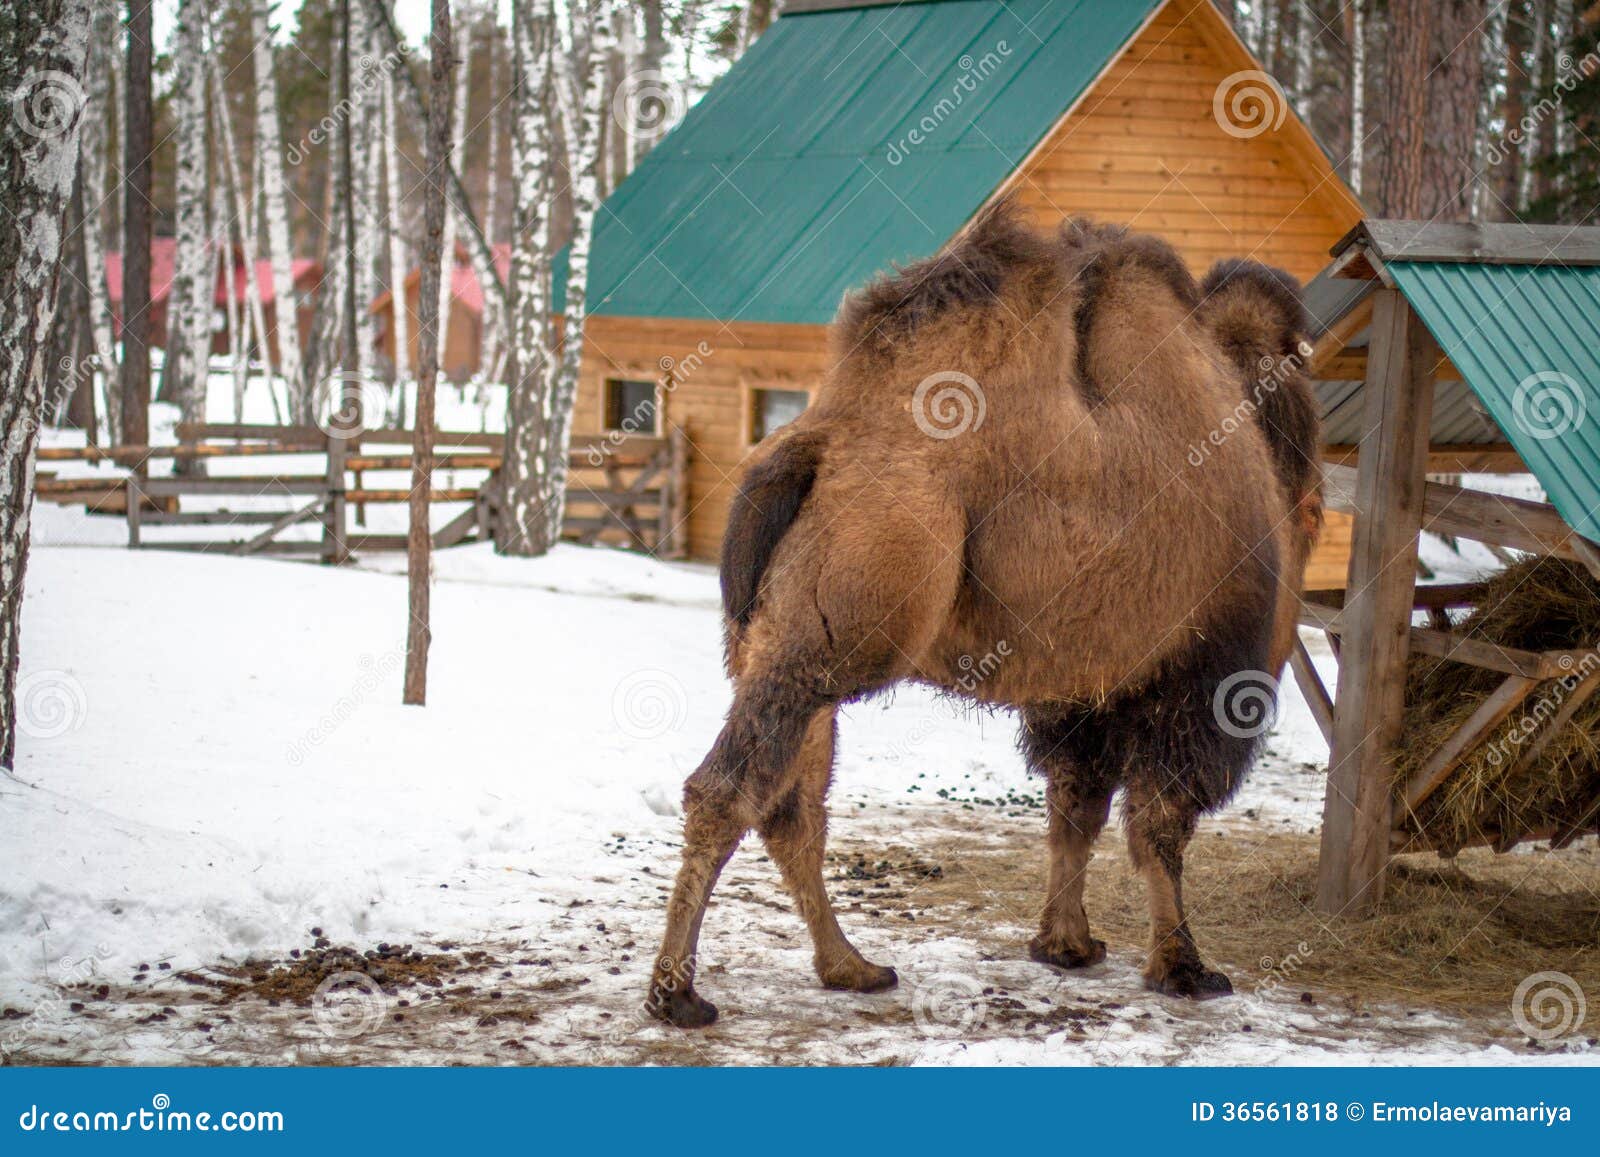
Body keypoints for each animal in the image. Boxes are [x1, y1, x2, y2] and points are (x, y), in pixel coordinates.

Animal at [646, 203, 1323, 1028]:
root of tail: (817, 443)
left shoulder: (1084, 684)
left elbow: (1075, 804)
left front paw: (1067, 943)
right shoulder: (1202, 674)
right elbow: (1160, 823)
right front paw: (1185, 967)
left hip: (780, 643)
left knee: (791, 807)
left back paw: (851, 966)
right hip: (846, 622)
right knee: (728, 791)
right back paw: (678, 993)